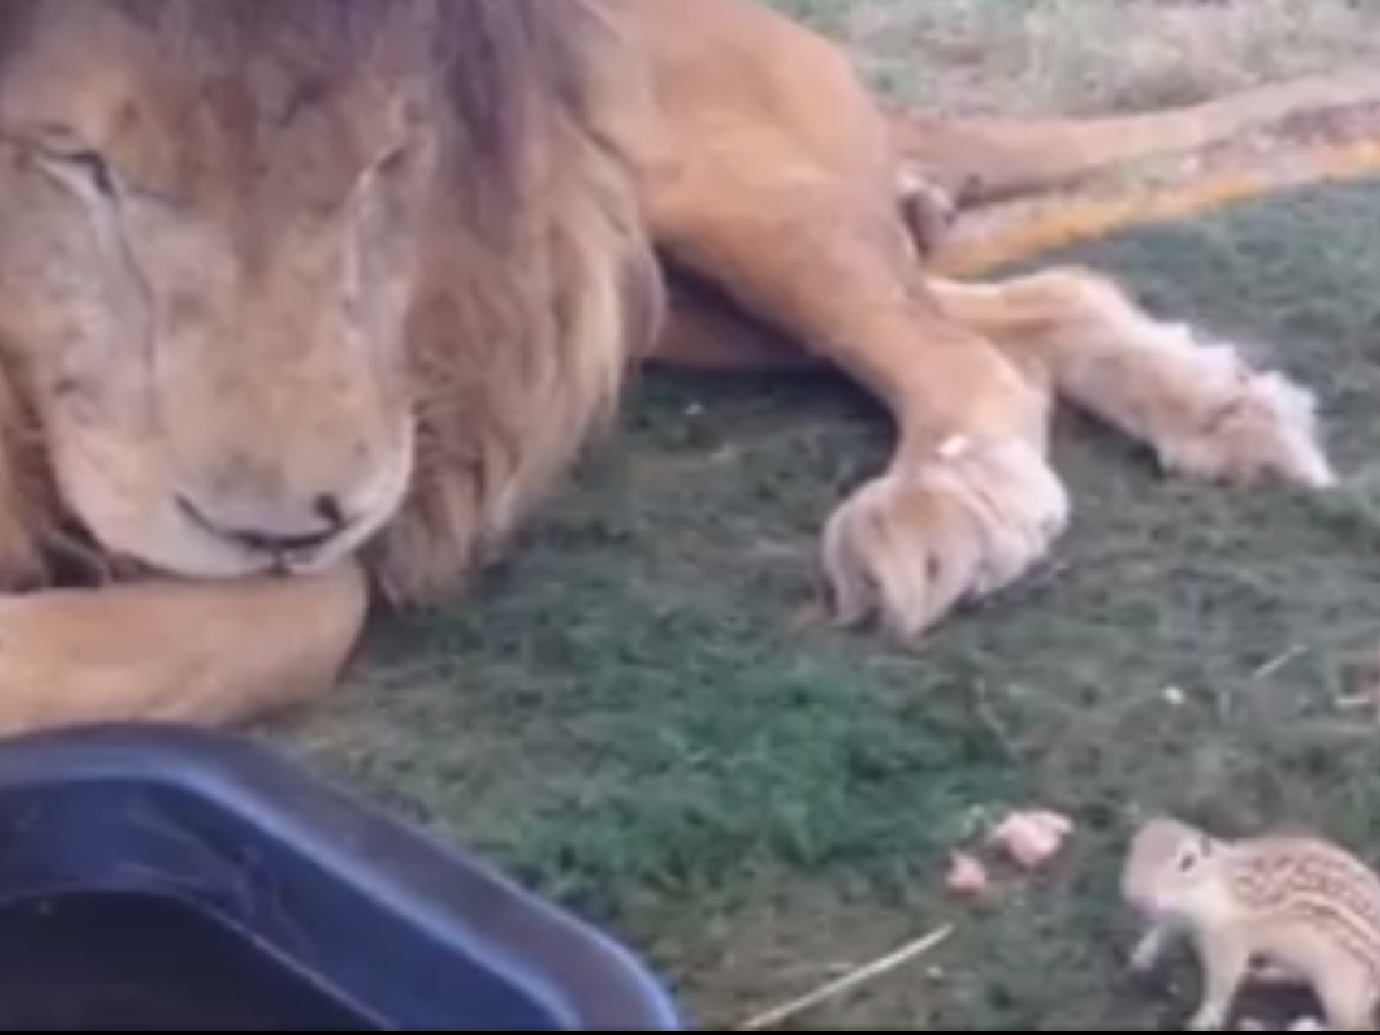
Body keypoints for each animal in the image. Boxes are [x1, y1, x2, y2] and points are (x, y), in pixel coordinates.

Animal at [0, 0, 1373, 733]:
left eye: (389, 164)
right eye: (81, 166)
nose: (291, 522)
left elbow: (312, 604)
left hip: (696, 189)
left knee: (955, 353)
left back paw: (944, 509)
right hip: (669, 297)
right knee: (1015, 307)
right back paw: (1221, 406)